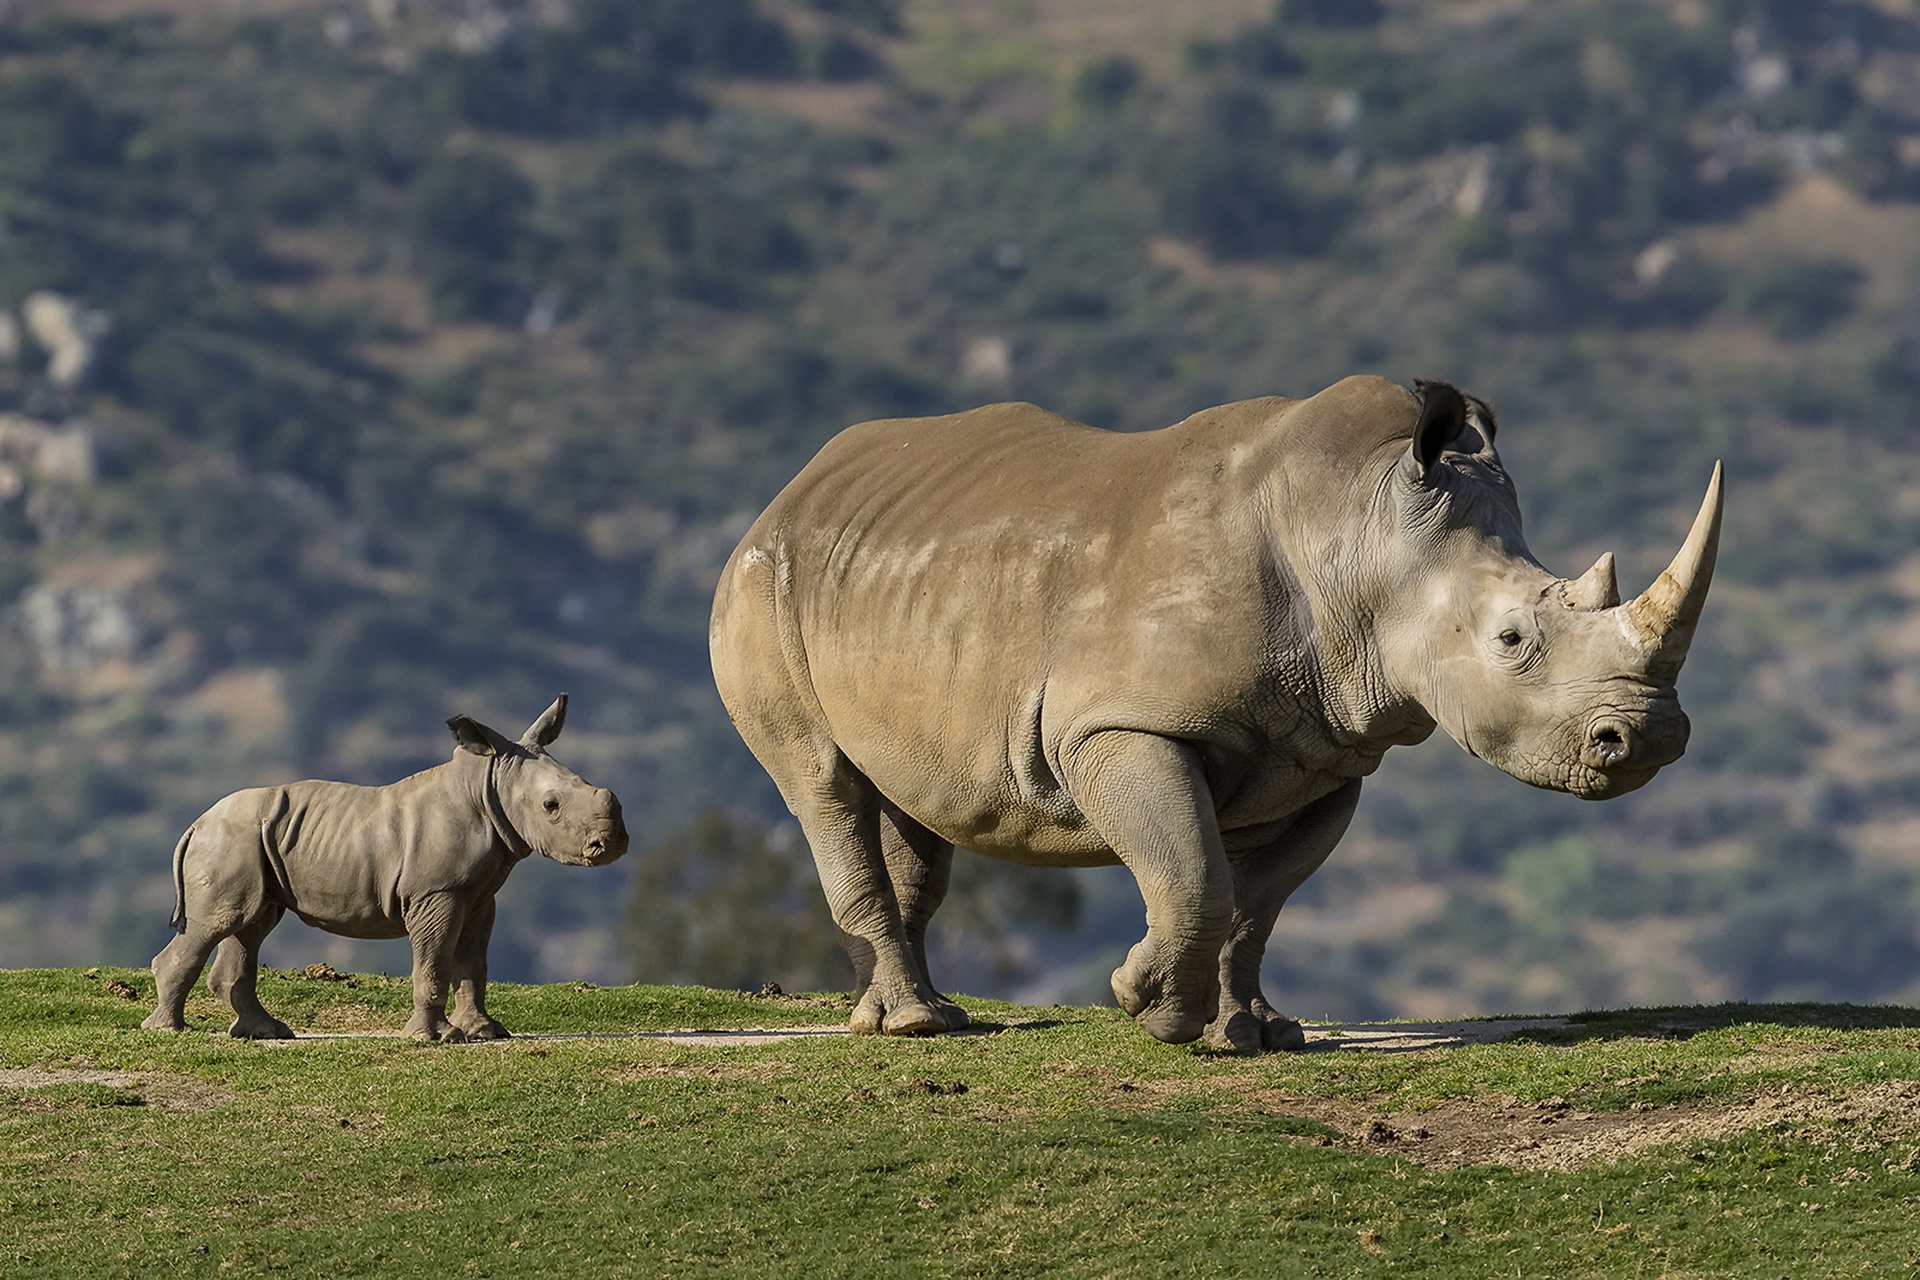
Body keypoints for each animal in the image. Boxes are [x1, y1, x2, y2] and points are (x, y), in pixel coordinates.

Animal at [142, 695, 627, 1041]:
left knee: (252, 924)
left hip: (254, 841)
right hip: (229, 841)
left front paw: (486, 1032)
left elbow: (473, 962)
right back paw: (170, 1030)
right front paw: (436, 1038)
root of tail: (196, 822)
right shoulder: (436, 892)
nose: (611, 845)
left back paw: (266, 1033)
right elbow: (435, 961)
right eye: (551, 806)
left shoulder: (478, 895)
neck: (487, 785)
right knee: (217, 923)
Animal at [709, 377, 1722, 1051]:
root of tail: (792, 489)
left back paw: (927, 1015)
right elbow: (1195, 874)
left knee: (916, 804)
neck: (1360, 531)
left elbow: (1259, 901)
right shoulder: (1118, 726)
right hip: (760, 584)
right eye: (1512, 639)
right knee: (822, 784)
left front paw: (1259, 1035)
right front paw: (1150, 1007)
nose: (1651, 738)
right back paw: (913, 1028)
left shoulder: (1330, 755)